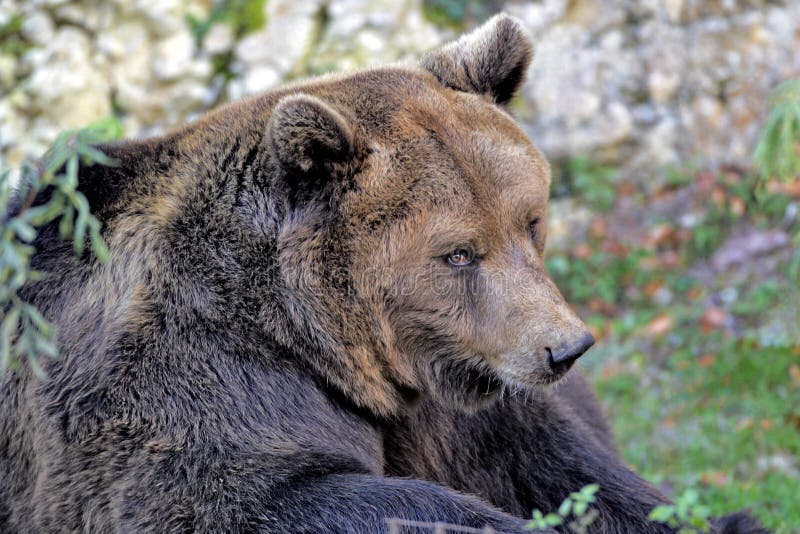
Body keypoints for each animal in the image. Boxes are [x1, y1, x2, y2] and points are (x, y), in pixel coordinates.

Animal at [1, 14, 766, 534]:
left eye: (529, 220)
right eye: (458, 252)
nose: (565, 348)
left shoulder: (468, 388)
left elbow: (568, 468)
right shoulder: (186, 378)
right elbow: (249, 497)